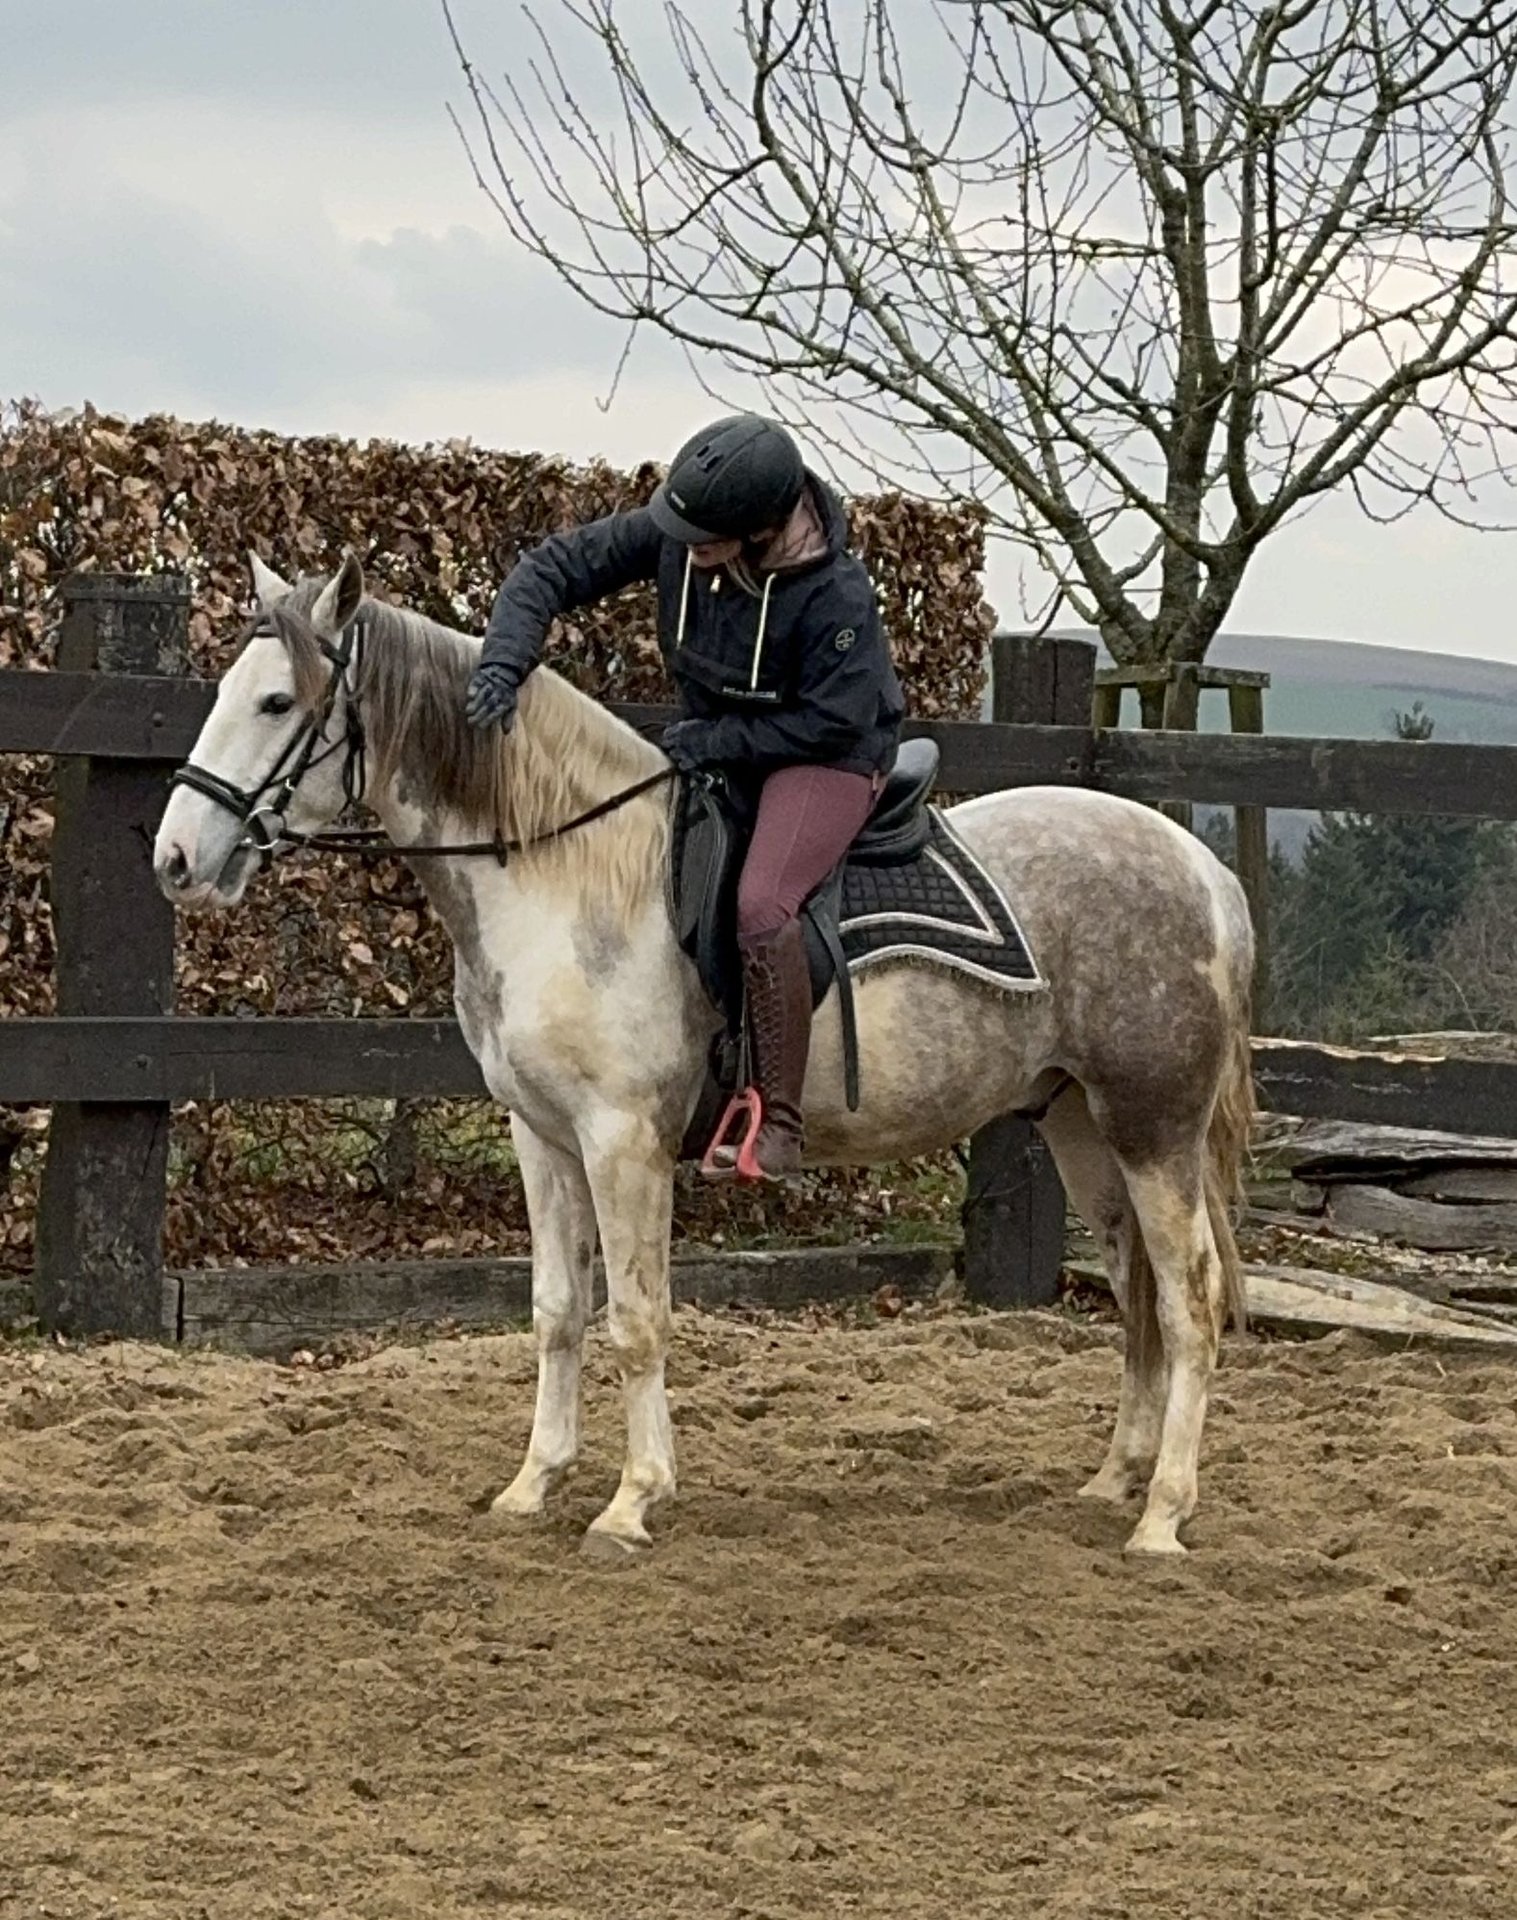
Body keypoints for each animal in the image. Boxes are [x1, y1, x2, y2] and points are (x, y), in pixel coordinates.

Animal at [154, 553, 1255, 1561]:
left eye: (276, 699)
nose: (175, 858)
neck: (568, 872)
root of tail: (1202, 871)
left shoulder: (621, 1143)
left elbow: (636, 1318)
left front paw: (631, 1501)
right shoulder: (541, 1138)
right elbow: (557, 1310)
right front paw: (533, 1484)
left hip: (1153, 1128)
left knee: (1189, 1299)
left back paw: (1162, 1516)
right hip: (1080, 1126)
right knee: (1135, 1290)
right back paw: (1114, 1480)